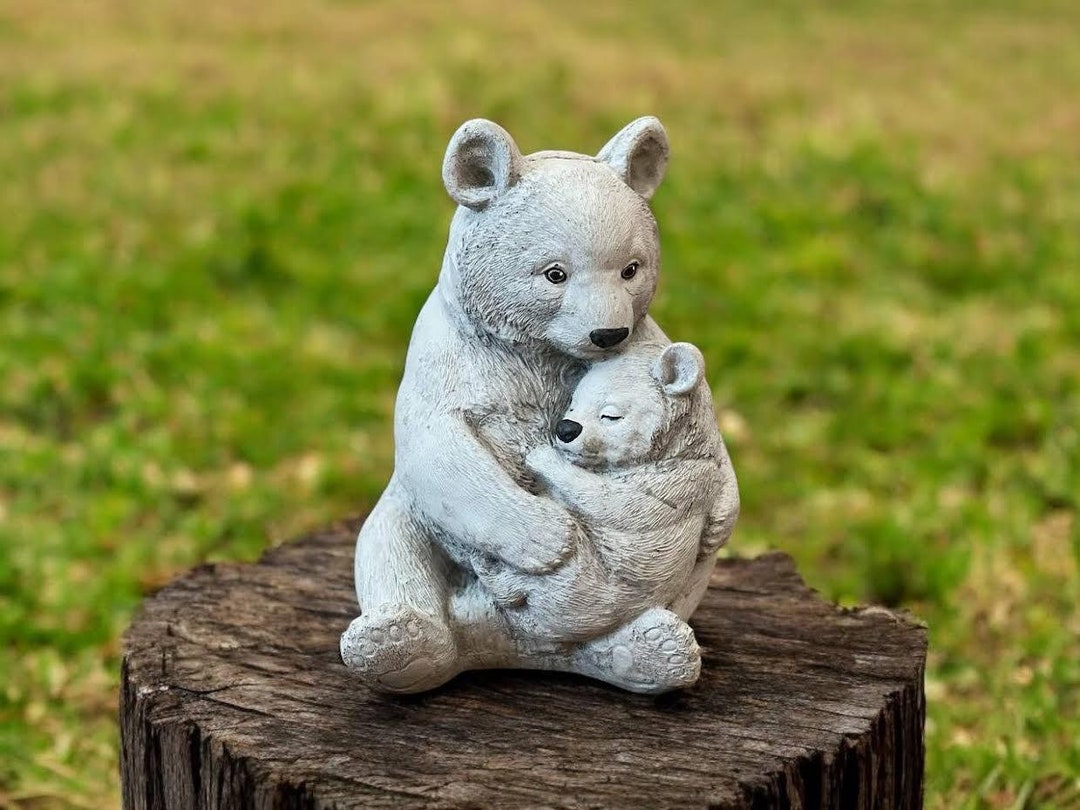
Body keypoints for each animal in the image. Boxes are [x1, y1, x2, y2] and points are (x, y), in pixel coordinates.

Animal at [470, 340, 739, 692]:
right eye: (572, 406)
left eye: (611, 415)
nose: (565, 428)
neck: (675, 451)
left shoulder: (678, 485)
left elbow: (610, 502)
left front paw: (540, 455)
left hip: (587, 591)